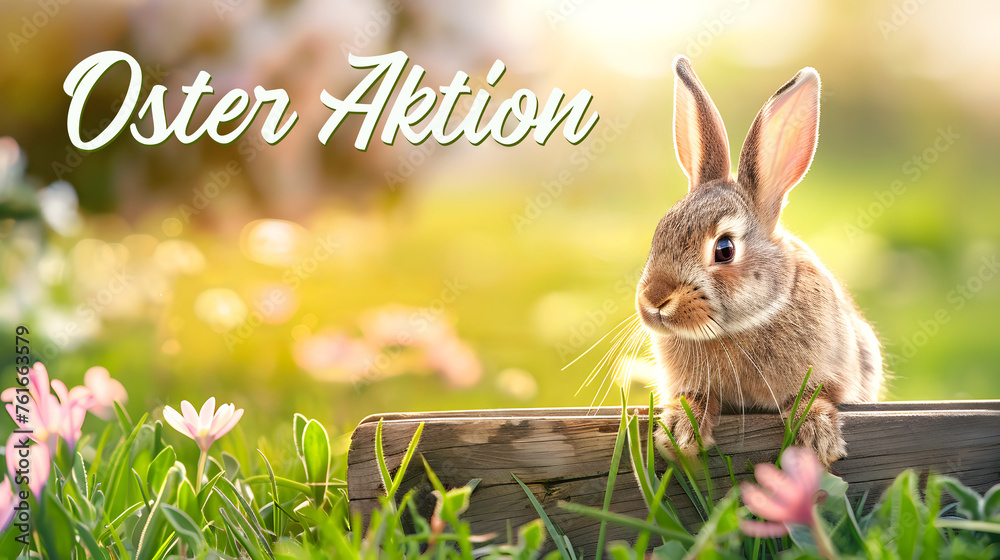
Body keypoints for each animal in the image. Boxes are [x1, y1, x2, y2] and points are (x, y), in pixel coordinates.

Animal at [636, 55, 883, 466]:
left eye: (724, 249)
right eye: (660, 231)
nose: (654, 299)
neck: (741, 326)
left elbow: (816, 396)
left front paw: (818, 438)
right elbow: (696, 399)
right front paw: (680, 434)